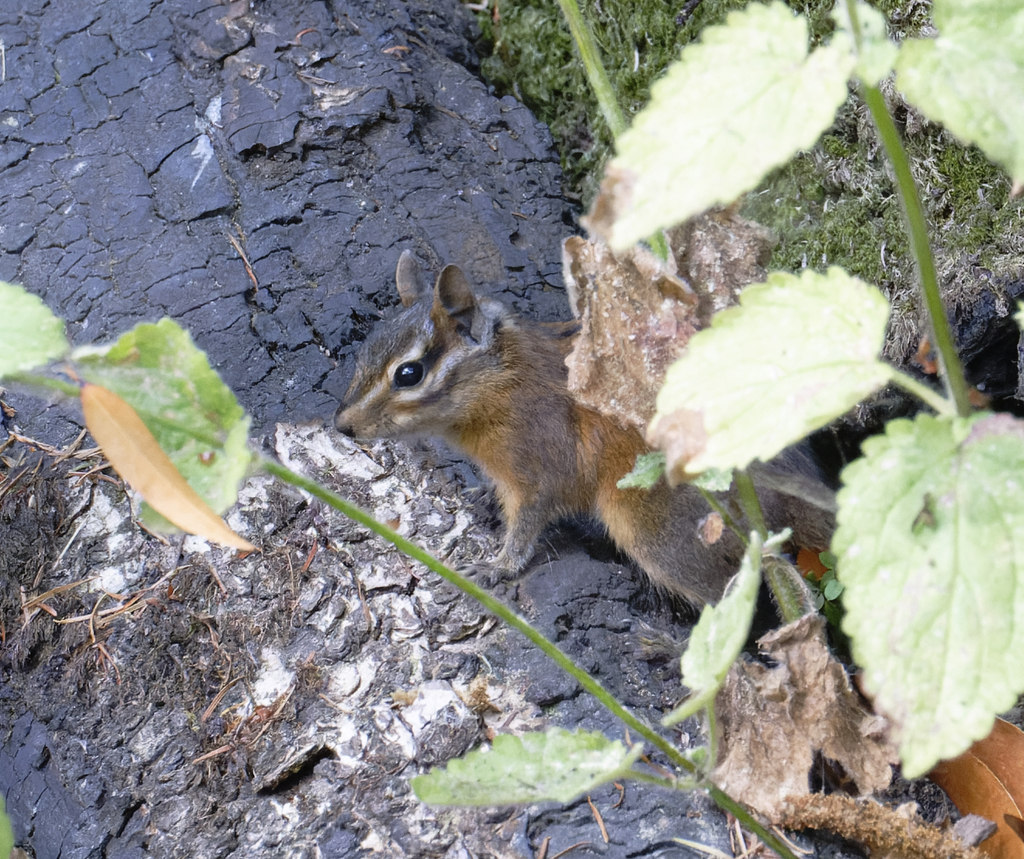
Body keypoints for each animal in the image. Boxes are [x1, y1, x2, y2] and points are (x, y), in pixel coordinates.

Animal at [334, 252, 835, 605]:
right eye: (365, 350)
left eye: (408, 374)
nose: (342, 425)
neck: (504, 381)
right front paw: (484, 496)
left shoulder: (540, 470)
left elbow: (527, 525)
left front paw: (497, 567)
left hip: (654, 528)